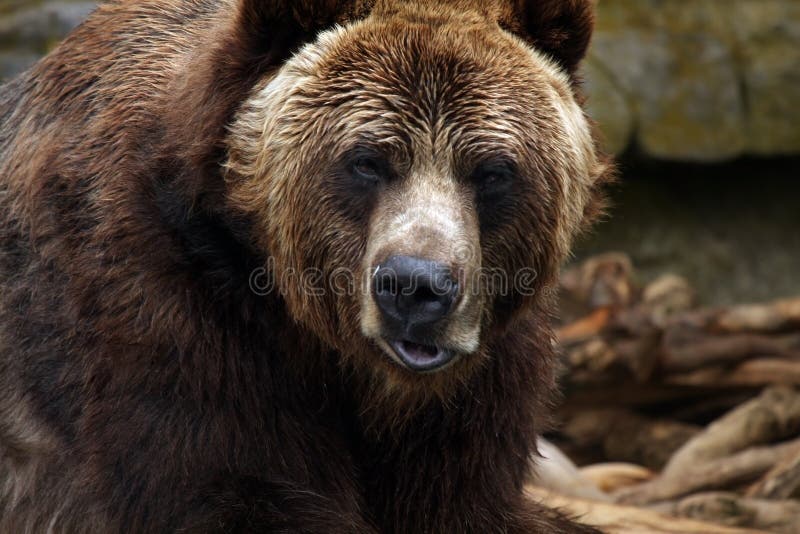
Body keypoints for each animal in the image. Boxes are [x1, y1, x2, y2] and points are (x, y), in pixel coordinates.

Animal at [0, 0, 610, 532]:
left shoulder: (481, 387)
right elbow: (232, 487)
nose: (416, 287)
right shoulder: (163, 308)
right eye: (366, 161)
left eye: (492, 170)